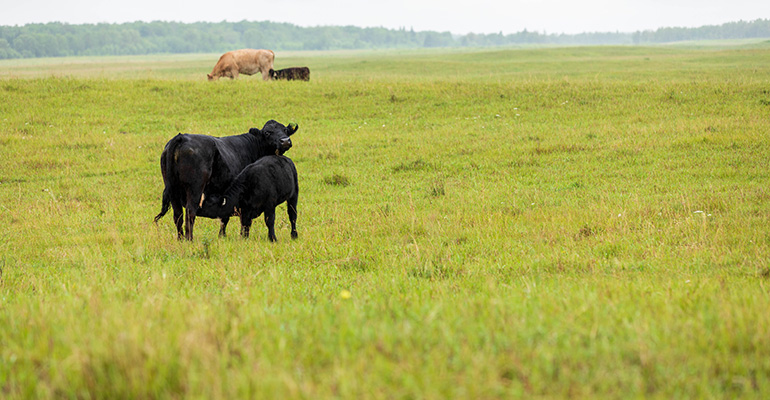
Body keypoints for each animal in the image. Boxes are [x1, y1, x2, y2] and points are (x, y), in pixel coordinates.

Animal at [154, 120, 298, 241]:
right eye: (268, 132)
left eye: (285, 130)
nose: (285, 141)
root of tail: (181, 137)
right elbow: (227, 217)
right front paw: (223, 235)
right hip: (194, 188)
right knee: (190, 212)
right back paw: (190, 239)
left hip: (173, 190)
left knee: (178, 215)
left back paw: (180, 239)